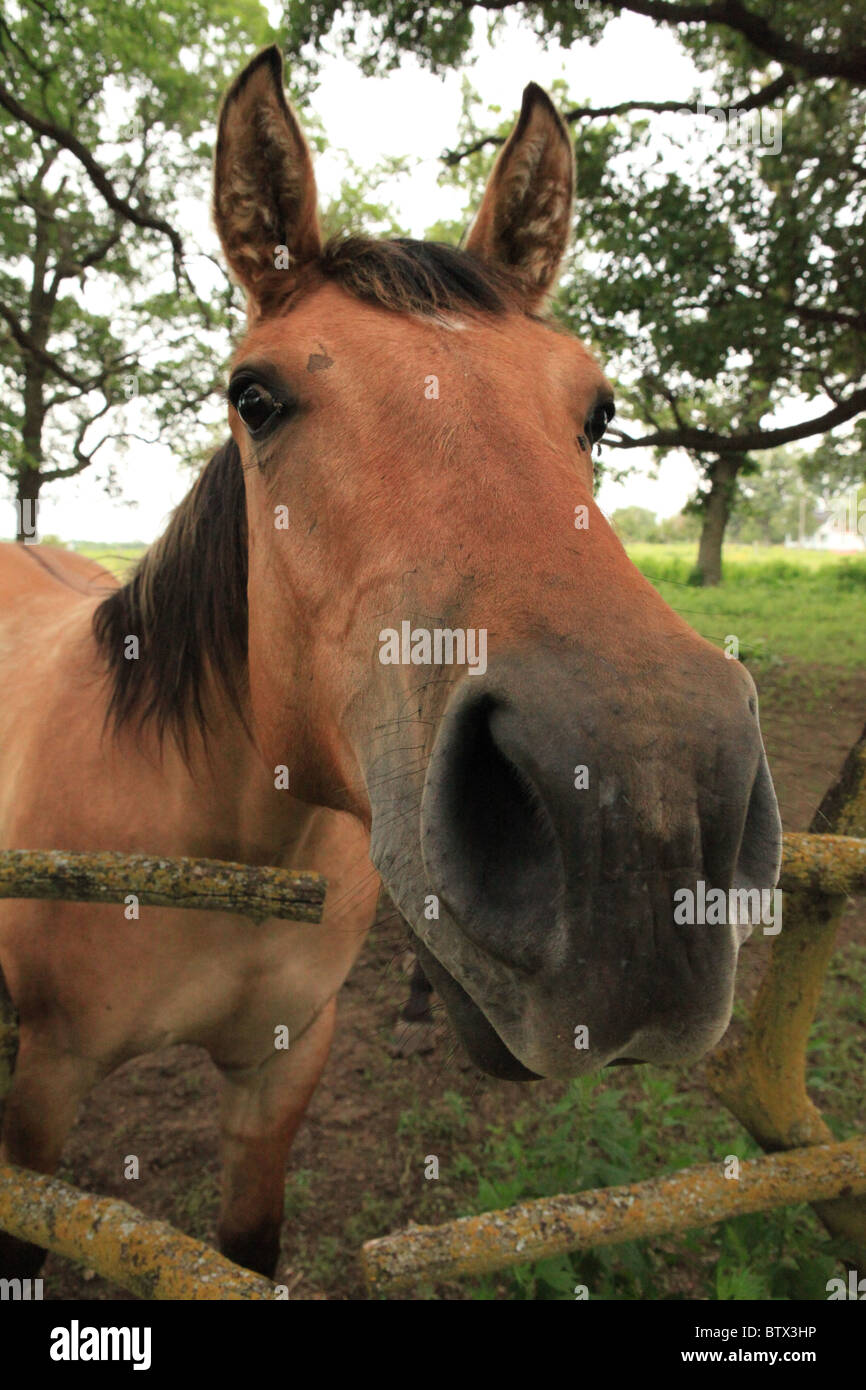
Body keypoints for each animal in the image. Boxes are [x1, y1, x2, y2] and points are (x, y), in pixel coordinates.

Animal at [0, 45, 782, 1283]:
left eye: (597, 409)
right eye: (254, 395)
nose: (647, 810)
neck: (223, 850)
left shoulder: (281, 1072)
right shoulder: (45, 1091)